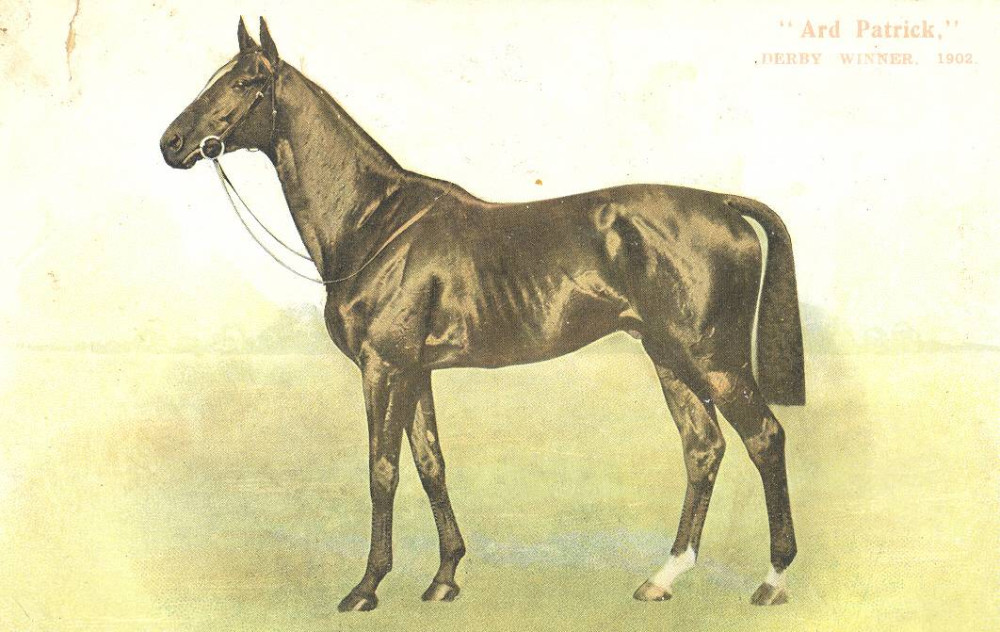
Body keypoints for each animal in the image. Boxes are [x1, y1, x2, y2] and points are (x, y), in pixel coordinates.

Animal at [160, 17, 805, 612]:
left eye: (246, 81)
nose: (171, 142)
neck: (375, 222)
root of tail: (721, 204)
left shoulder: (383, 368)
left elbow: (381, 470)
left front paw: (367, 588)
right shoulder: (415, 372)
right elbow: (430, 464)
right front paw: (445, 578)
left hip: (712, 358)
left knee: (764, 437)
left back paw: (773, 580)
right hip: (669, 356)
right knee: (703, 448)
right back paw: (663, 577)